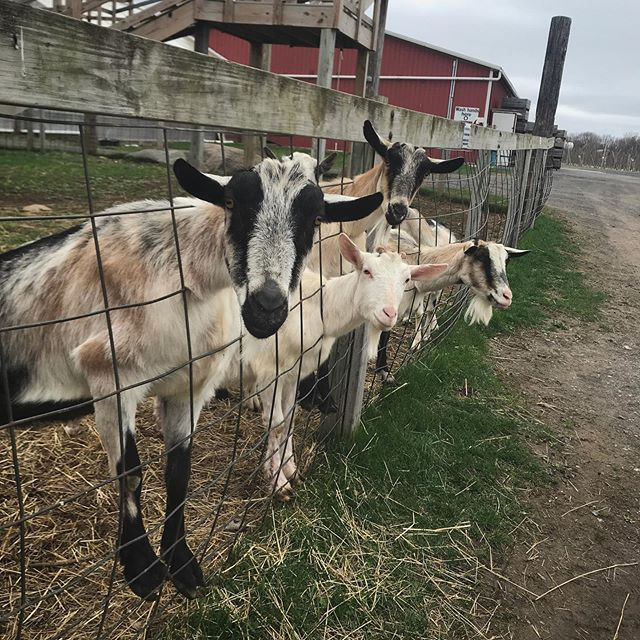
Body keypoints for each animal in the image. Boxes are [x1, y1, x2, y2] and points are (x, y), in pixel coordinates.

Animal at [0, 154, 383, 601]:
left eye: (317, 217)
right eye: (231, 201)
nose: (267, 307)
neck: (182, 276)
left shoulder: (190, 384)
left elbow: (179, 469)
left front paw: (181, 564)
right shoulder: (109, 376)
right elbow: (130, 472)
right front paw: (142, 569)